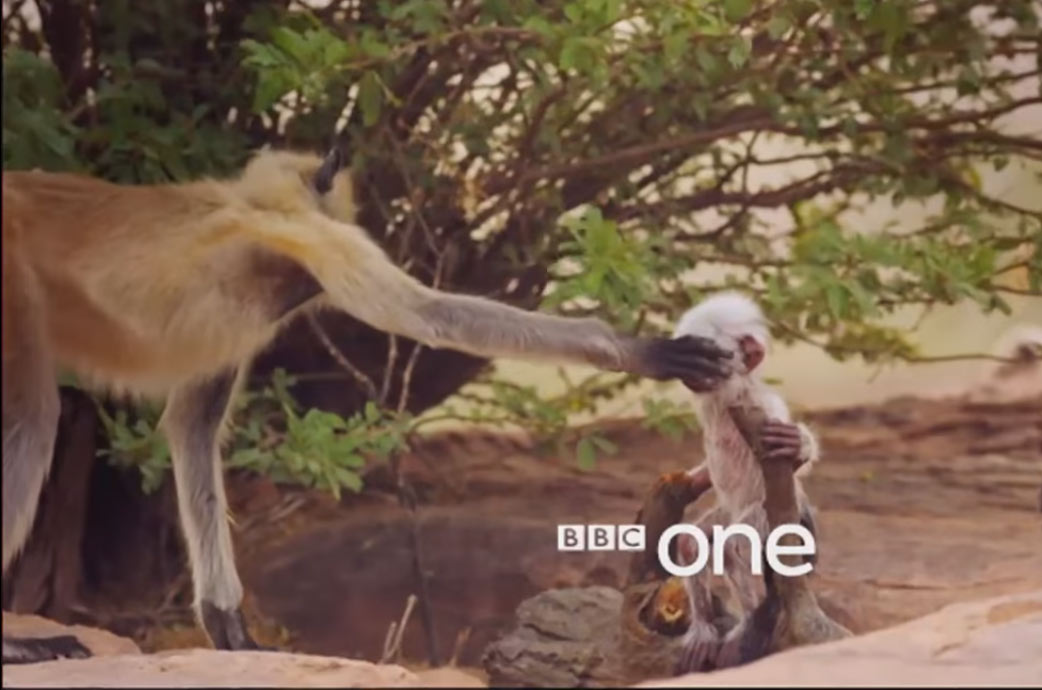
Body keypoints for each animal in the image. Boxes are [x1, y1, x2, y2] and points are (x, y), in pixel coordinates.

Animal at [1, 148, 735, 664]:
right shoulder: (316, 240)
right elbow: (433, 316)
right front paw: (647, 351)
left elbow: (191, 425)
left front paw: (227, 625)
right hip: (12, 277)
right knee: (31, 423)